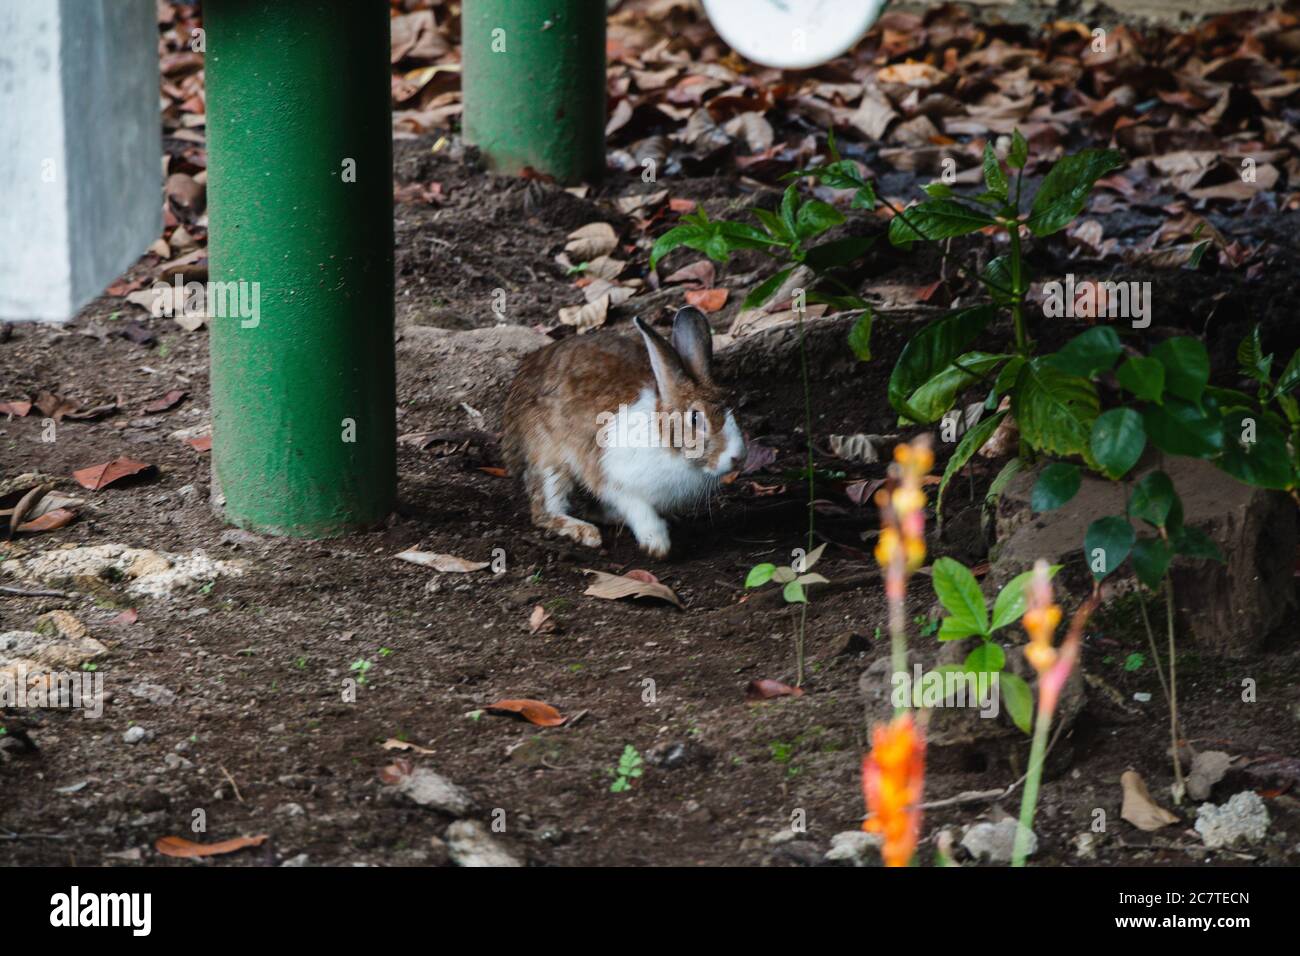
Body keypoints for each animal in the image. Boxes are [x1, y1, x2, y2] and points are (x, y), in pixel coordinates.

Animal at [502, 306, 745, 558]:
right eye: (696, 418)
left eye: (730, 409)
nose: (739, 457)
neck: (666, 442)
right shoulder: (612, 478)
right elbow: (638, 509)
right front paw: (657, 544)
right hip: (548, 459)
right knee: (544, 510)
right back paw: (584, 531)